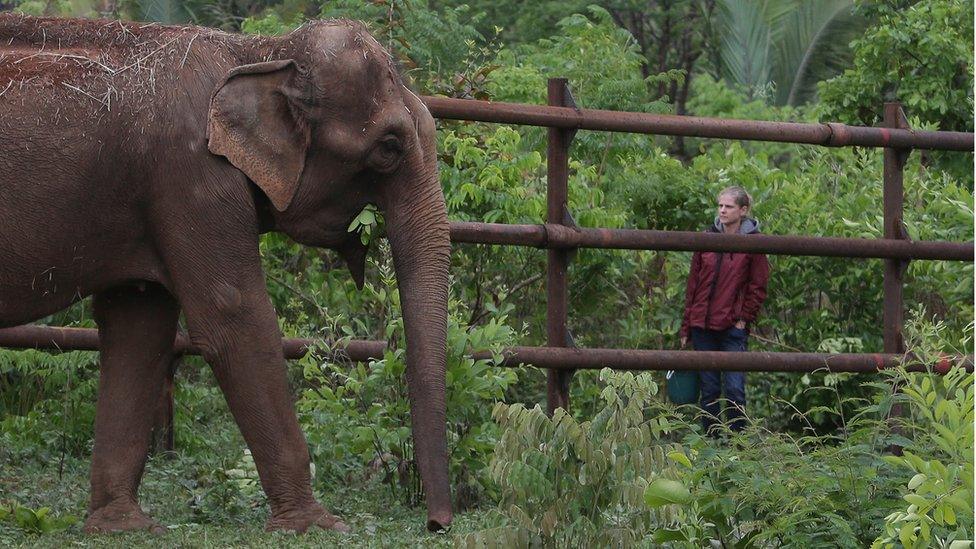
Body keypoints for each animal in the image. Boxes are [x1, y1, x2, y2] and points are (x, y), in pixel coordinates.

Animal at [0, 14, 452, 534]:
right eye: (389, 147)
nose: (438, 524)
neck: (257, 53)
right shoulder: (191, 173)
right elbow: (234, 317)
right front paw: (317, 523)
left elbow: (138, 328)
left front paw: (122, 526)